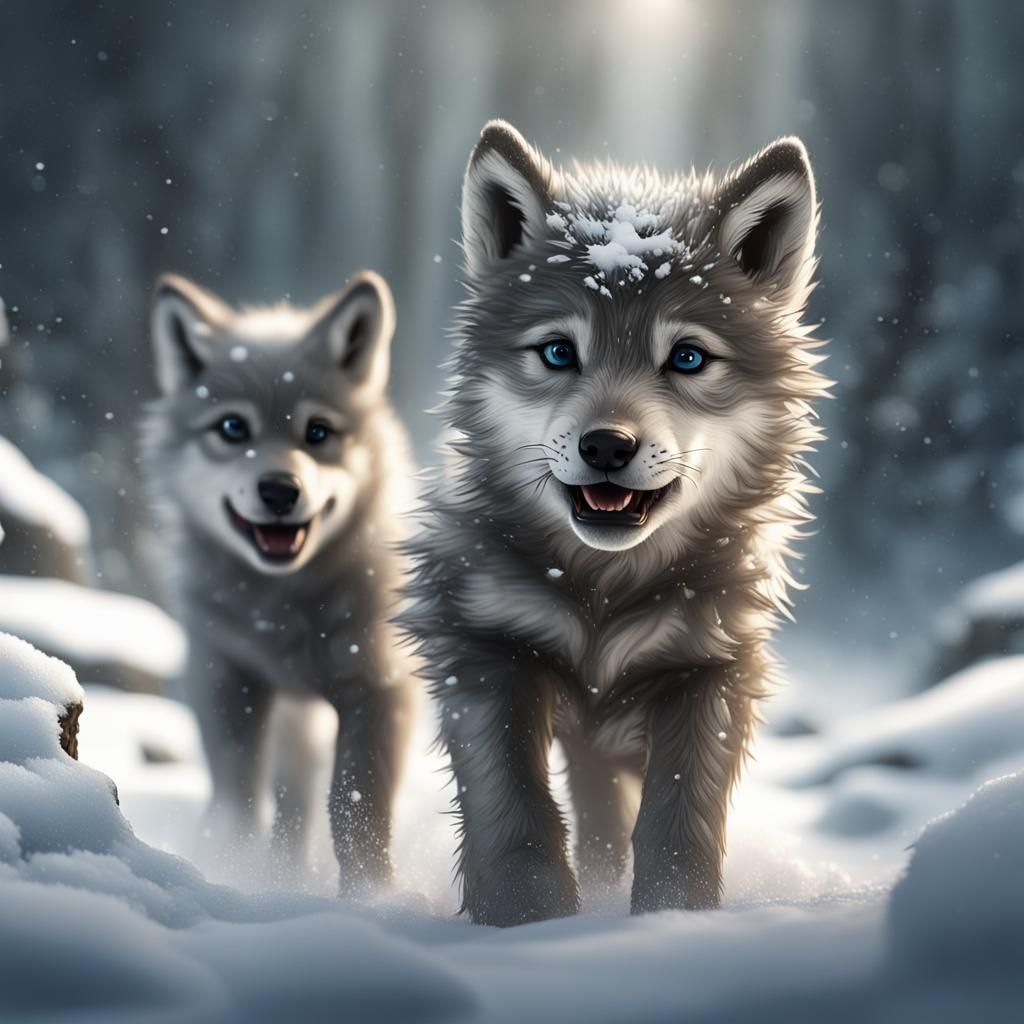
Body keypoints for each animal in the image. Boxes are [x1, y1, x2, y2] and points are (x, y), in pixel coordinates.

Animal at [142, 271, 416, 893]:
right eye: (232, 428)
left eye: (318, 432)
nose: (279, 490)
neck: (284, 607)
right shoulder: (226, 678)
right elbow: (239, 796)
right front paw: (235, 871)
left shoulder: (378, 688)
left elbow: (355, 805)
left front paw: (372, 896)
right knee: (287, 800)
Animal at [401, 121, 828, 926]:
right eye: (558, 352)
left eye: (687, 358)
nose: (607, 445)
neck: (604, 590)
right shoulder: (484, 647)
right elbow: (513, 805)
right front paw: (526, 921)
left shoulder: (709, 669)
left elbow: (677, 821)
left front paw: (672, 920)